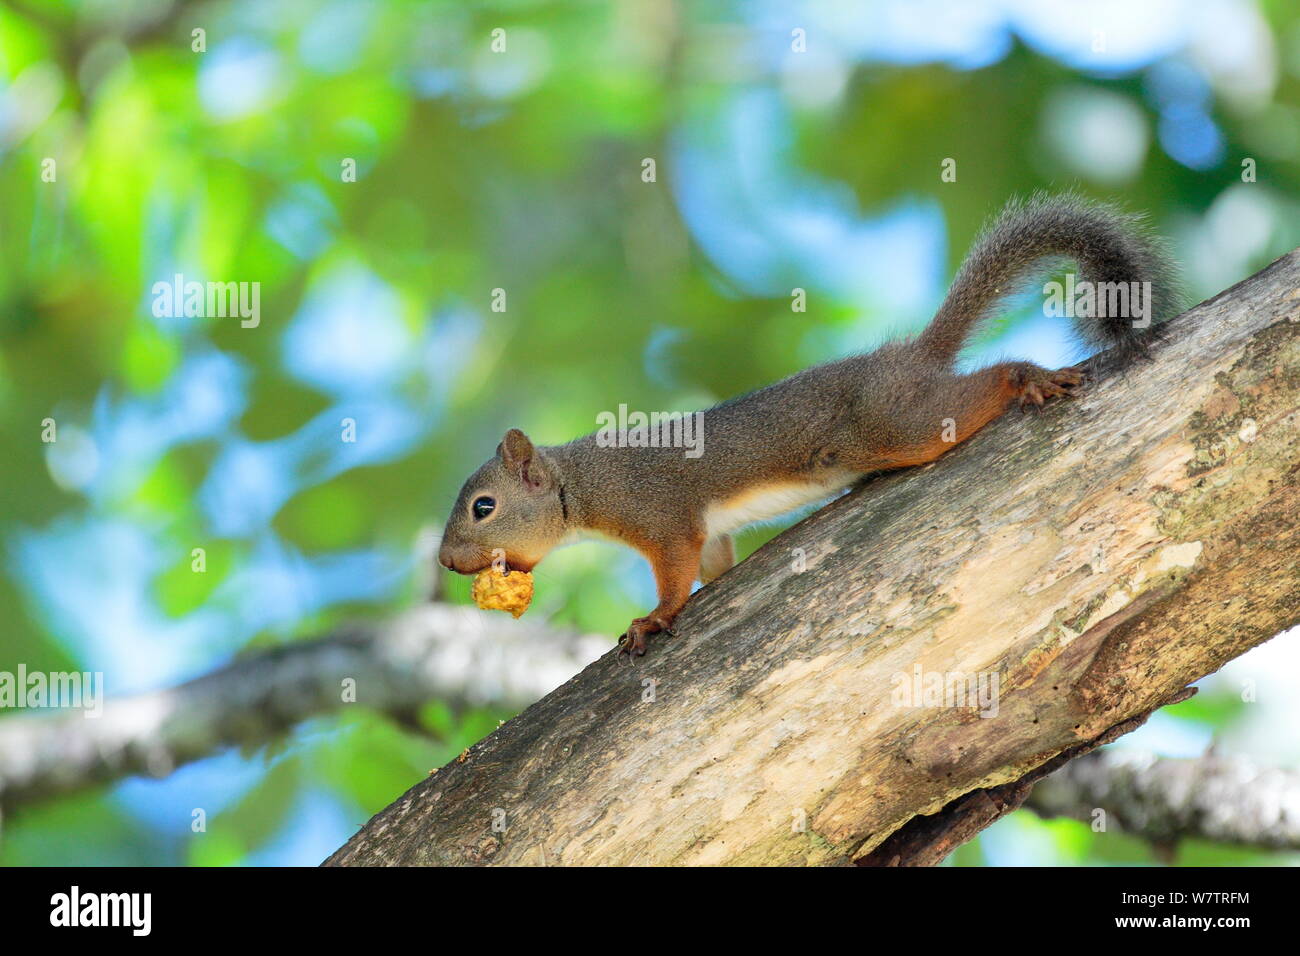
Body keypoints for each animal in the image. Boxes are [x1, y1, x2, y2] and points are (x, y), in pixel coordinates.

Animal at [438, 193, 1176, 655]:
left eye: (483, 506)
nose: (445, 562)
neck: (585, 484)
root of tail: (907, 356)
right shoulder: (708, 531)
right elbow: (715, 560)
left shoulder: (661, 515)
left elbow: (674, 575)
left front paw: (652, 621)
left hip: (894, 424)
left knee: (978, 390)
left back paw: (1027, 377)